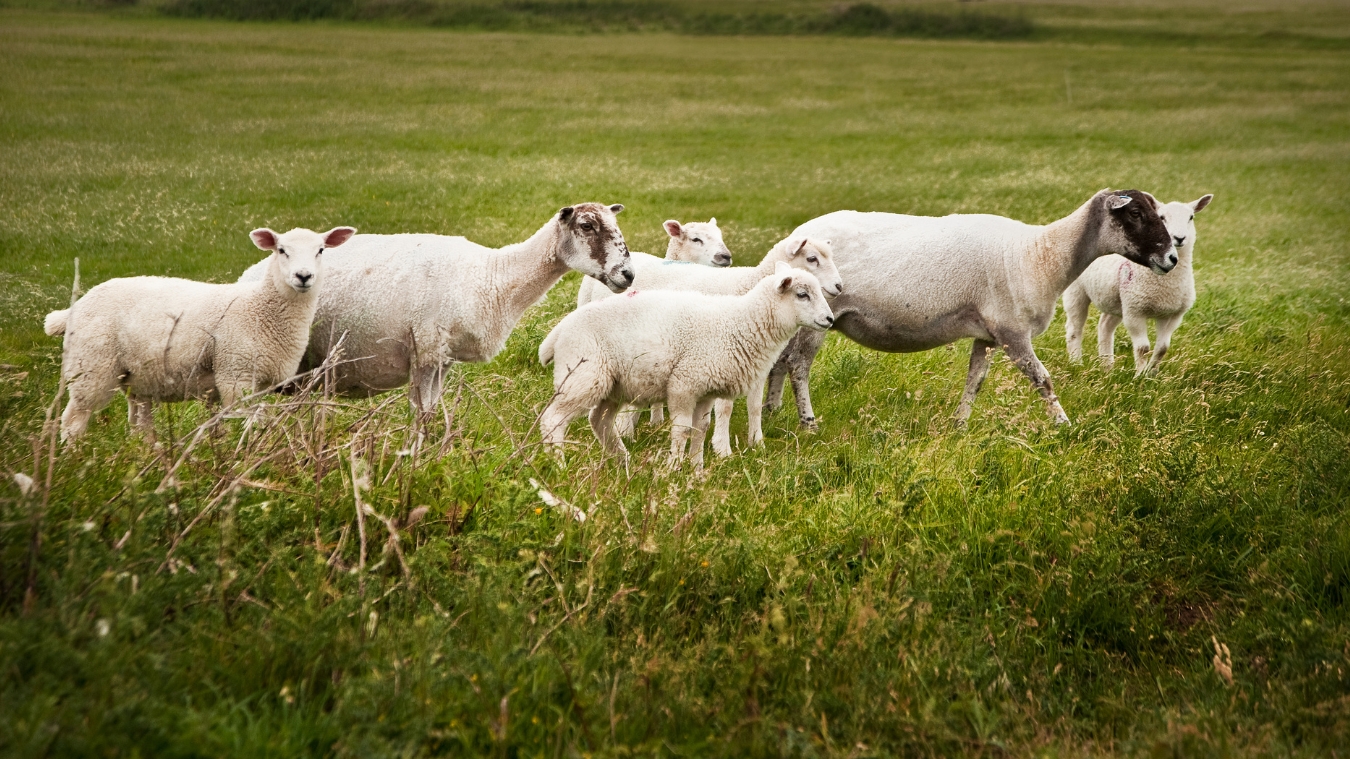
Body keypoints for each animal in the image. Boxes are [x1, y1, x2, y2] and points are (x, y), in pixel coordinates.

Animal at [45, 226, 354, 441]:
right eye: (281, 250)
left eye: (321, 250)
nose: (303, 276)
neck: (260, 306)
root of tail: (75, 308)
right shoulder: (235, 374)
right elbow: (248, 422)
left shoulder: (260, 381)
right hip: (92, 368)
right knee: (73, 420)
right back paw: (73, 457)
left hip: (136, 376)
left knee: (139, 424)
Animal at [239, 203, 632, 413]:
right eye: (587, 225)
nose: (627, 274)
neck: (493, 276)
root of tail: (248, 274)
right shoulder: (425, 351)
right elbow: (421, 418)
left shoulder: (443, 359)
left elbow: (430, 413)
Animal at [538, 263, 835, 472]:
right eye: (802, 294)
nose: (830, 319)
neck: (738, 323)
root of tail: (559, 331)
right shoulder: (684, 384)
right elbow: (681, 429)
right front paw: (673, 466)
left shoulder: (705, 391)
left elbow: (701, 428)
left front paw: (697, 468)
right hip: (583, 376)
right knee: (552, 419)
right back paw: (558, 464)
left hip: (612, 385)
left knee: (598, 420)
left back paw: (622, 459)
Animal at [764, 189, 1176, 427]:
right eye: (1135, 214)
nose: (1172, 258)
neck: (1040, 254)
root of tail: (787, 242)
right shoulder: (1012, 331)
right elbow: (1043, 379)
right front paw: (1064, 424)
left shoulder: (989, 335)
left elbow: (975, 382)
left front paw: (959, 425)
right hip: (818, 317)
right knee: (798, 366)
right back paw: (808, 423)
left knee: (780, 361)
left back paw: (772, 411)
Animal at [1064, 194, 1213, 375]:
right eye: (1161, 217)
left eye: (1191, 217)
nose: (1179, 238)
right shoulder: (1135, 311)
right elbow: (1143, 347)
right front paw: (1140, 375)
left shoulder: (1172, 315)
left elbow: (1162, 348)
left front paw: (1152, 373)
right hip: (1076, 291)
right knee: (1074, 328)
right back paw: (1076, 363)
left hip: (1118, 302)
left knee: (1105, 325)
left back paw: (1107, 367)